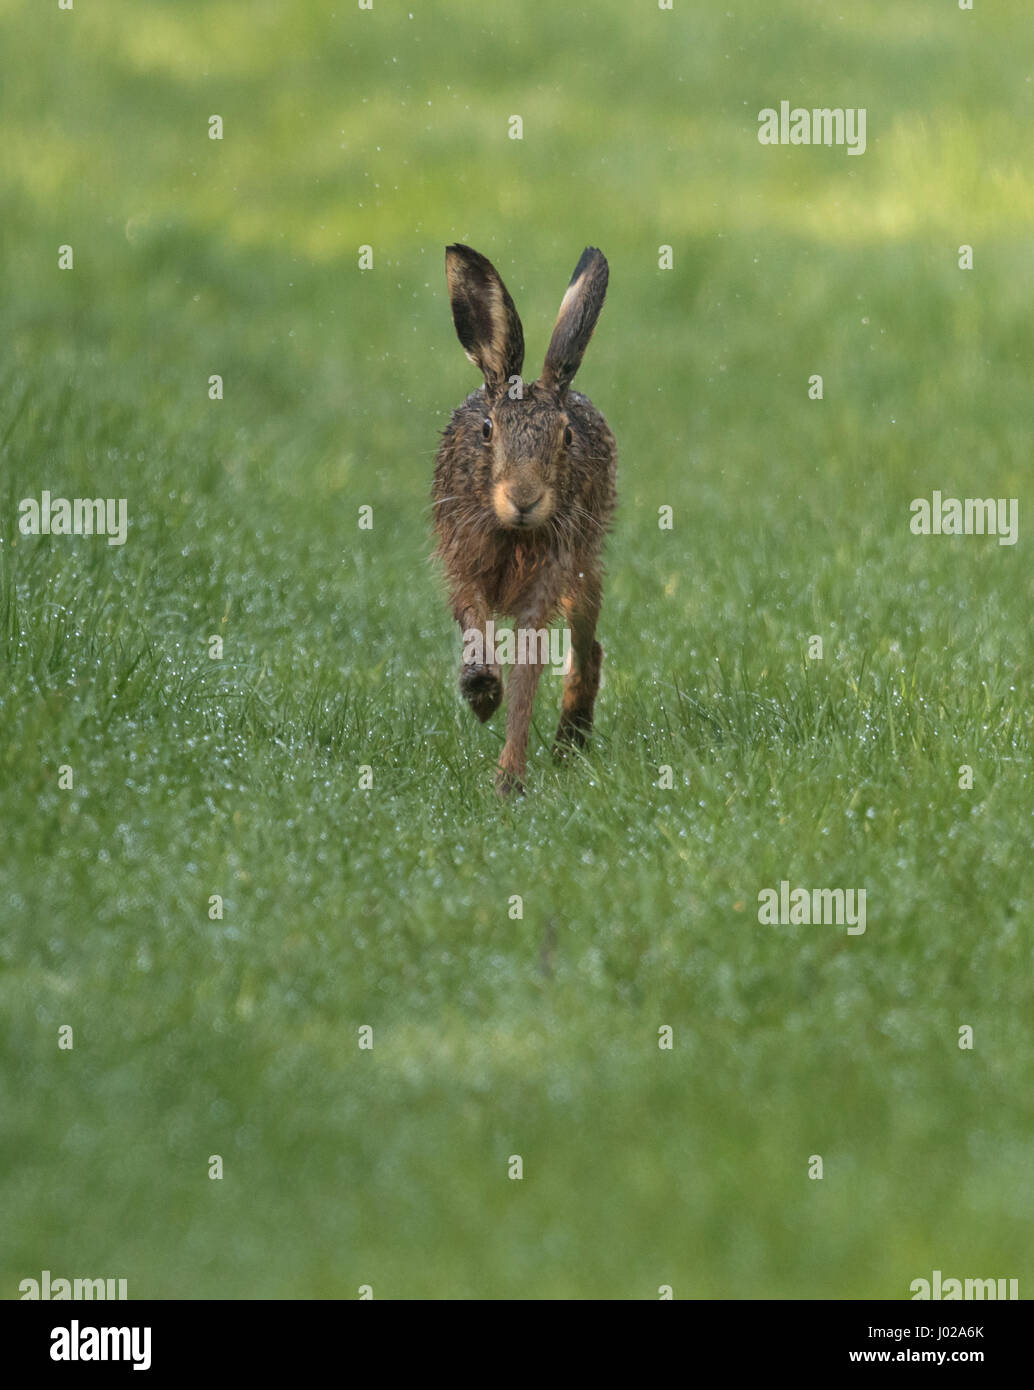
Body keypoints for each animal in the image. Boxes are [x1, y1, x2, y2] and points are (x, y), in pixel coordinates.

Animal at [432, 244, 617, 797]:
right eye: (487, 430)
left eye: (566, 437)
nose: (524, 498)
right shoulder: (462, 566)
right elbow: (474, 623)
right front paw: (480, 691)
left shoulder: (550, 577)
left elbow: (527, 675)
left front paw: (509, 780)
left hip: (585, 568)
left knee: (587, 648)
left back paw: (570, 741)